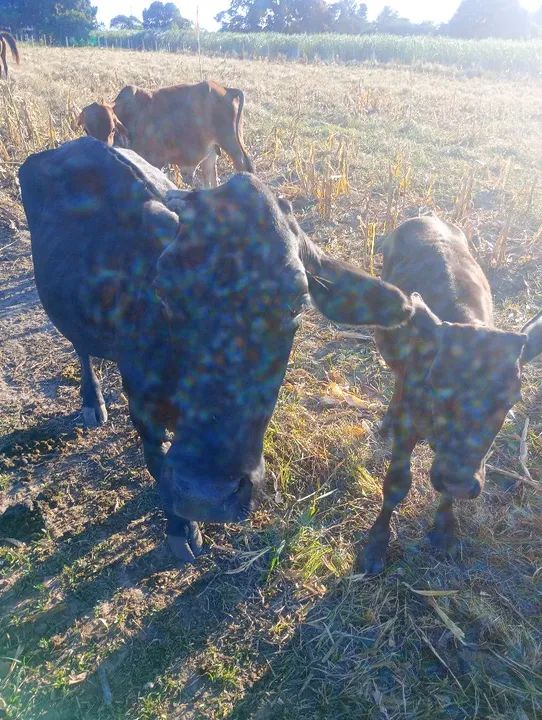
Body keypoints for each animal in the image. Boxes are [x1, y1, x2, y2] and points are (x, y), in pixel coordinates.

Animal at [19, 137, 412, 563]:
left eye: (295, 303)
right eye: (163, 290)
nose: (206, 496)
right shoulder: (140, 402)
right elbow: (156, 461)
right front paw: (180, 527)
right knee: (80, 348)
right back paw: (92, 401)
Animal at [358, 216, 542, 574]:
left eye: (510, 400)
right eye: (435, 384)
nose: (457, 479)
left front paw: (444, 529)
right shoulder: (410, 422)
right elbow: (396, 482)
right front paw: (375, 545)